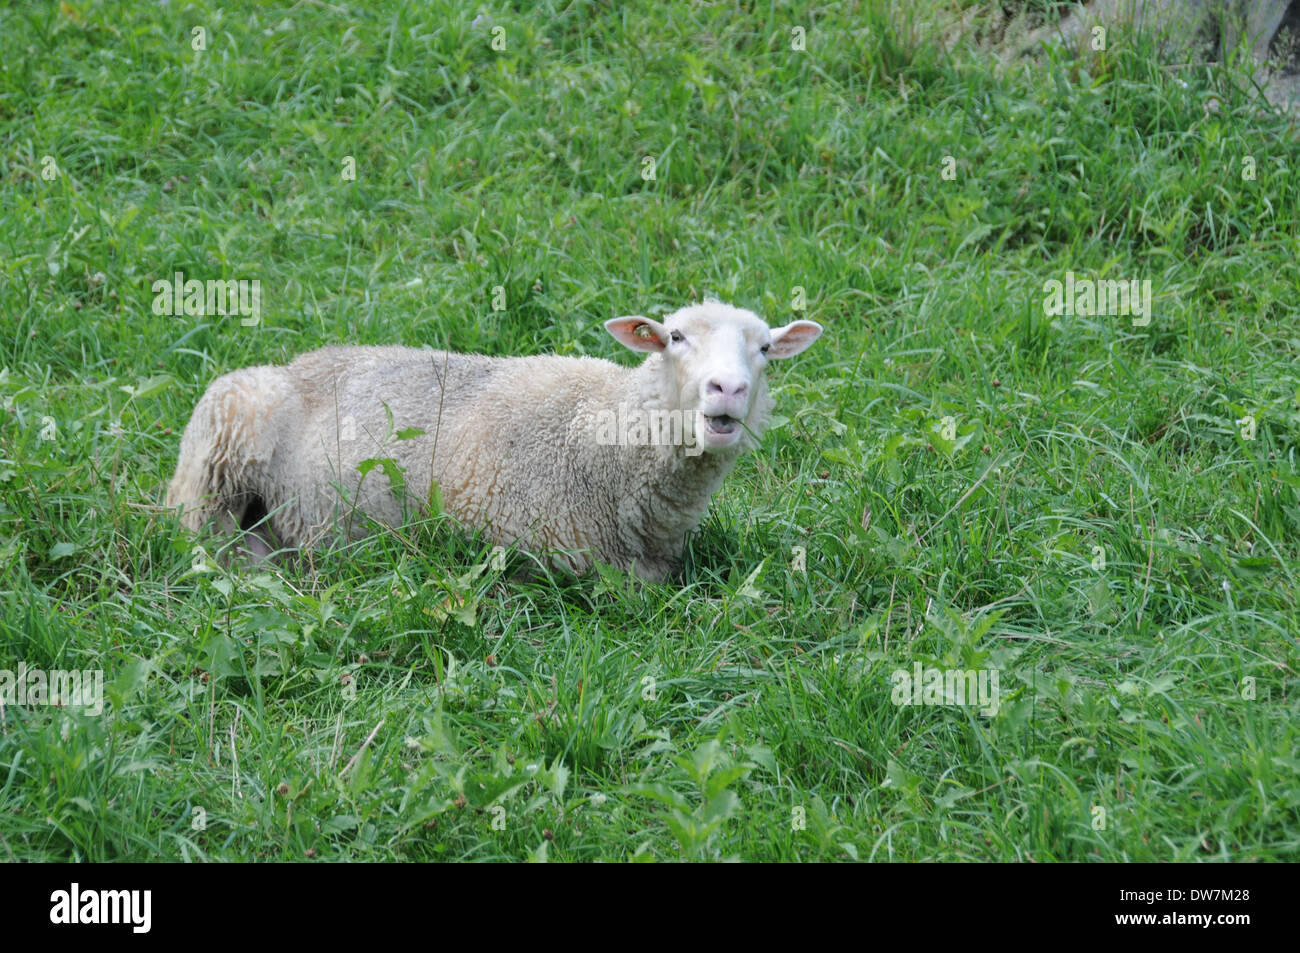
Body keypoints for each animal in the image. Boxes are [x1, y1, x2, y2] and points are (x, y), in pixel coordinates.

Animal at [165, 301, 824, 581]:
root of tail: (296, 362)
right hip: (221, 440)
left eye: (765, 347)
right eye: (676, 337)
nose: (728, 388)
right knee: (196, 536)